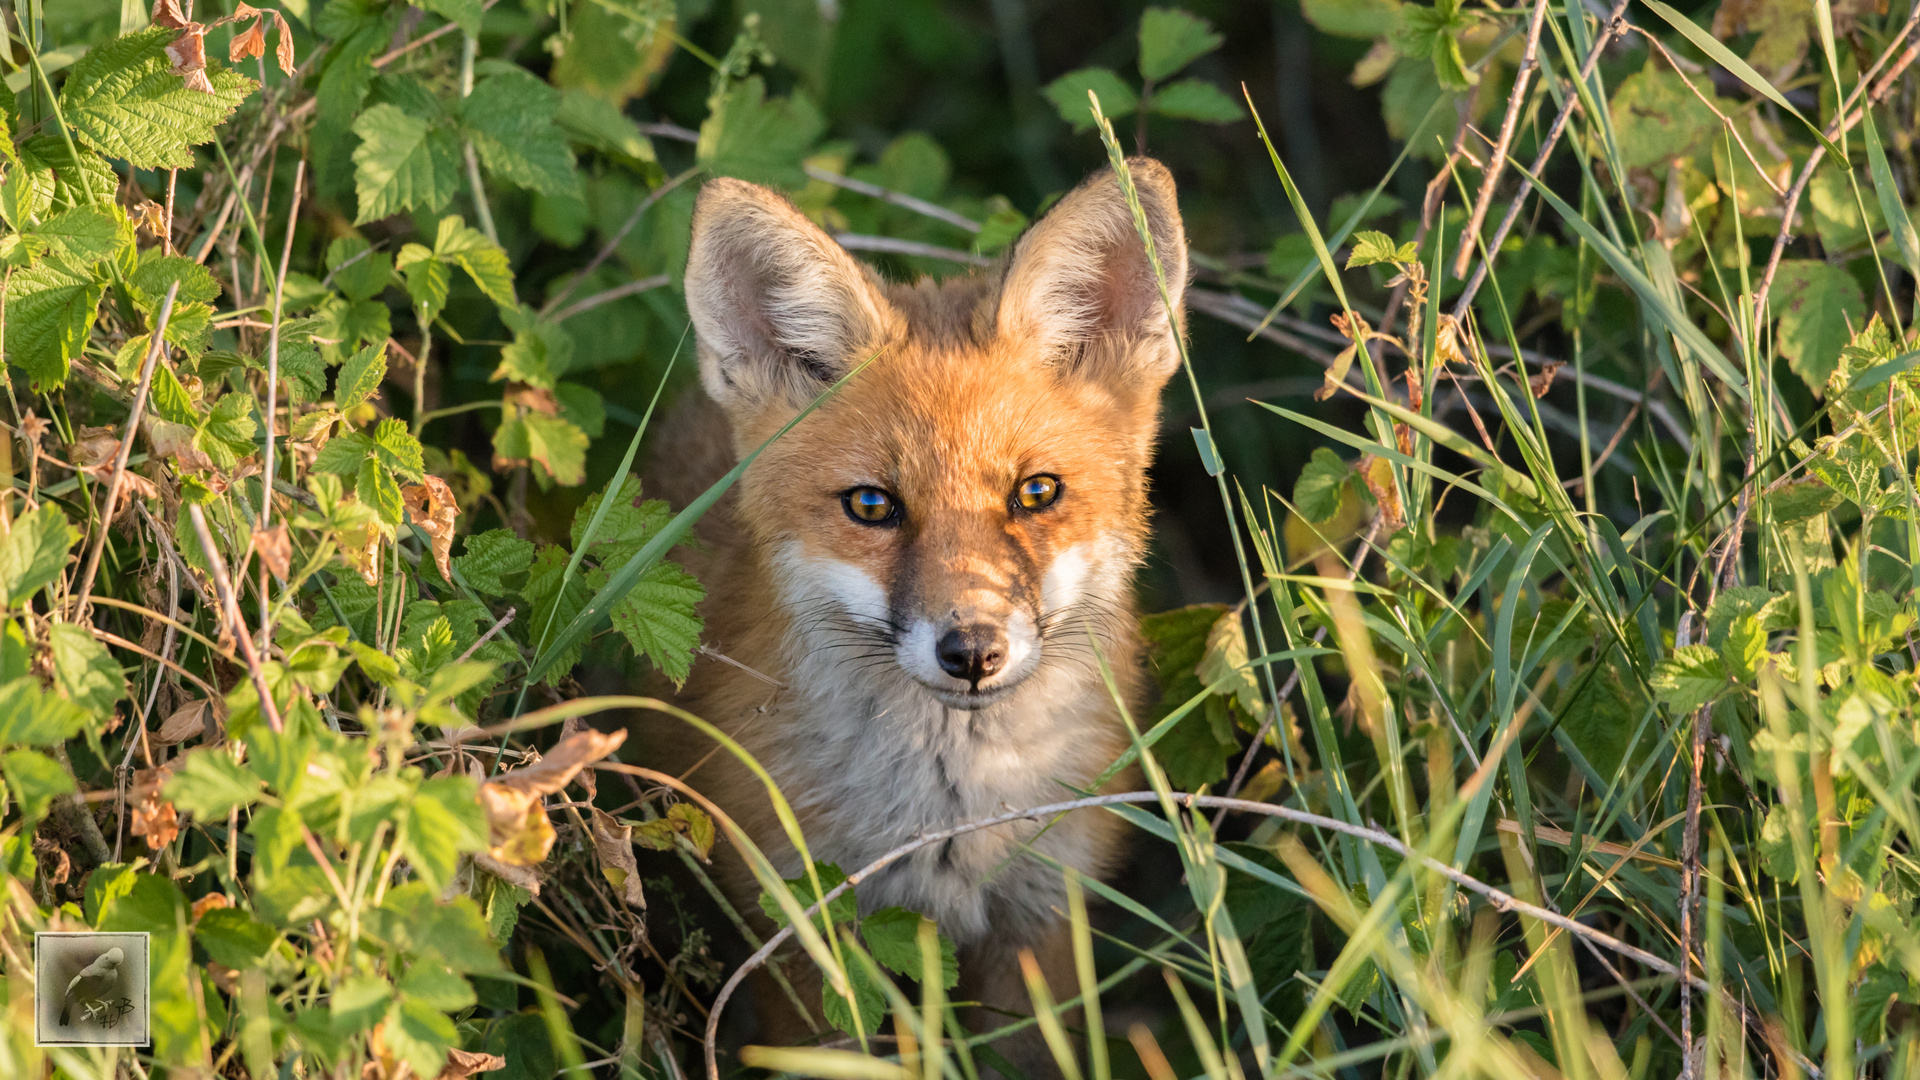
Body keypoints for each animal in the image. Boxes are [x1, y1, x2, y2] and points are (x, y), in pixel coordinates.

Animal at [637, 155, 1190, 1053]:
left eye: (1037, 492)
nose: (973, 651)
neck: (949, 823)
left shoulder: (1044, 914)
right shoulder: (802, 925)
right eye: (872, 506)